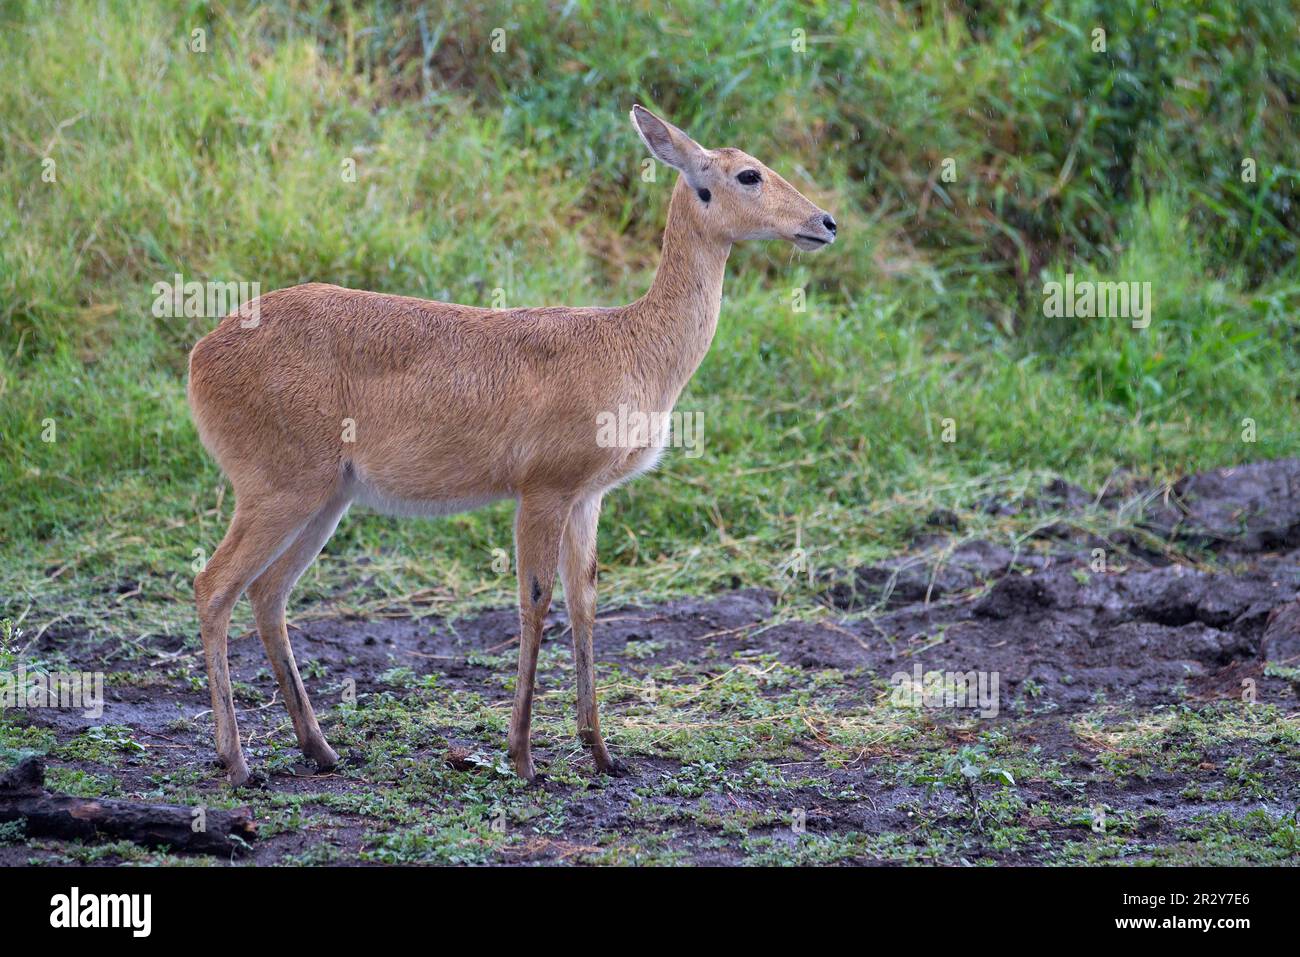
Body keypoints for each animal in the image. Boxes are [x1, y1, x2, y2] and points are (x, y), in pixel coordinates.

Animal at [187, 105, 837, 786]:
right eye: (748, 173)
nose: (825, 222)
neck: (630, 342)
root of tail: (201, 351)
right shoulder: (543, 491)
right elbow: (535, 600)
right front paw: (523, 756)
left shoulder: (588, 497)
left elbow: (585, 601)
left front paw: (602, 752)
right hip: (279, 492)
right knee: (213, 586)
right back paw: (237, 762)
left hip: (326, 501)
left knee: (267, 594)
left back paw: (322, 749)